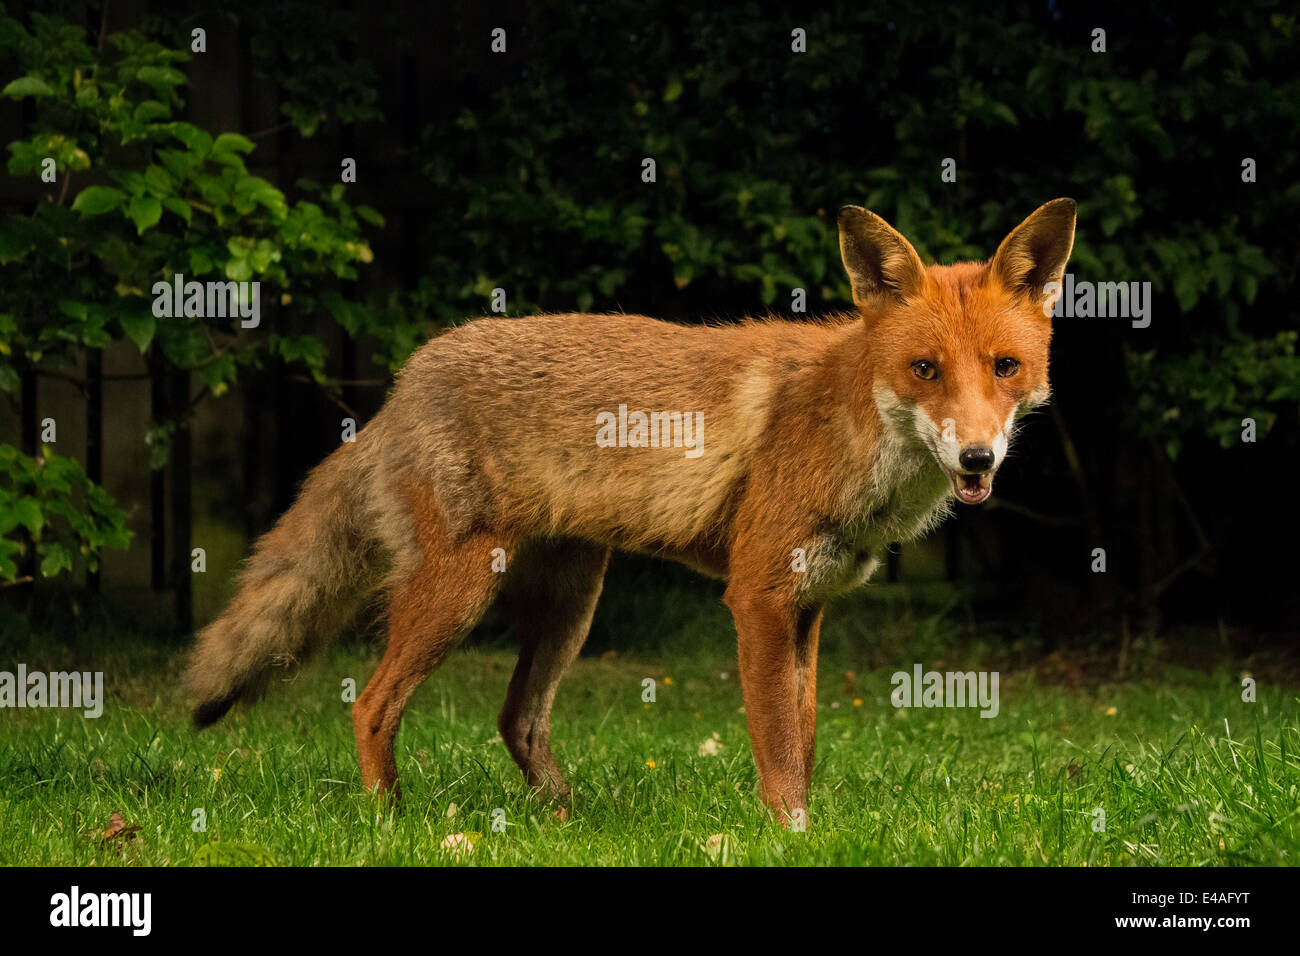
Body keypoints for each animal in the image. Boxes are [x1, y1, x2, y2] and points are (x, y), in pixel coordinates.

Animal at [187, 198, 1076, 824]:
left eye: (1005, 367)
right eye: (925, 369)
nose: (977, 459)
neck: (848, 423)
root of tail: (403, 384)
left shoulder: (809, 607)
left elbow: (807, 738)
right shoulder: (759, 596)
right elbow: (779, 748)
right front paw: (792, 833)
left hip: (572, 602)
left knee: (517, 720)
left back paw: (568, 820)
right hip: (462, 589)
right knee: (372, 706)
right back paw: (391, 821)